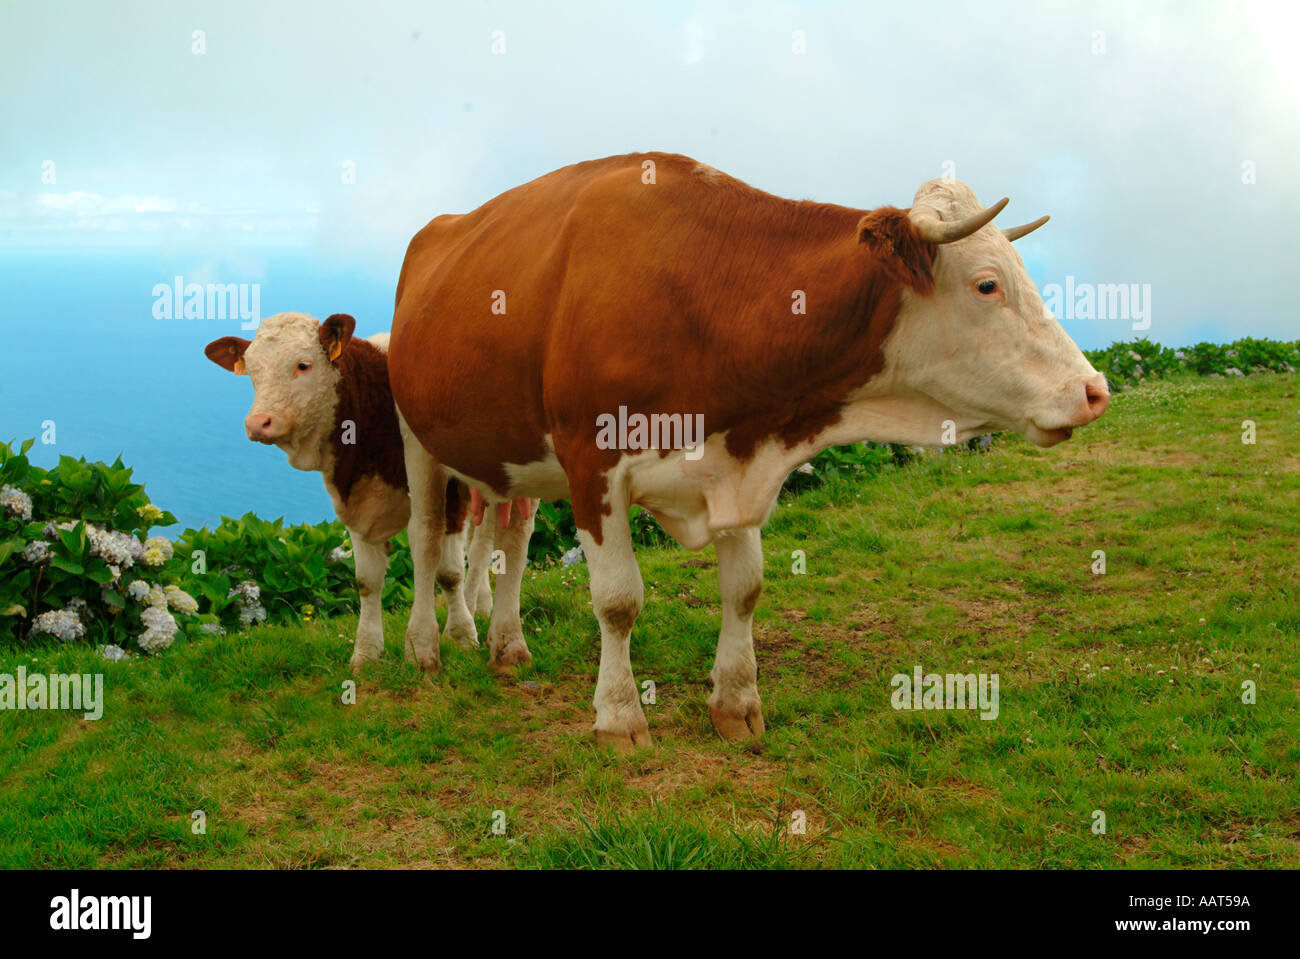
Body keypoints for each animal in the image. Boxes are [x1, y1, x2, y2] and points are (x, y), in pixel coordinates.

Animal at [203, 311, 526, 668]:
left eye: (303, 365)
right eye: (252, 370)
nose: (258, 423)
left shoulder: (450, 493)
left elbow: (450, 572)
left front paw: (460, 636)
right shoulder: (357, 505)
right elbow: (366, 582)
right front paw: (366, 652)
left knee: (483, 547)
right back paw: (481, 604)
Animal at [386, 152, 1110, 749]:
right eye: (988, 284)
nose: (1094, 390)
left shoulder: (741, 452)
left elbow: (745, 589)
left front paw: (735, 704)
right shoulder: (592, 461)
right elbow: (618, 600)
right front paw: (620, 718)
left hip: (519, 462)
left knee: (512, 546)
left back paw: (507, 647)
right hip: (416, 438)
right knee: (425, 541)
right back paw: (426, 649)